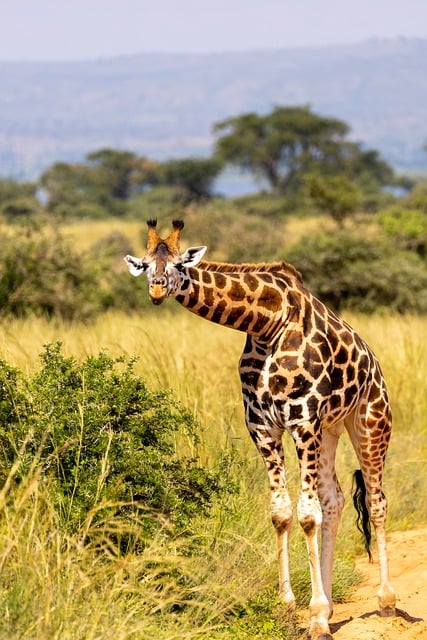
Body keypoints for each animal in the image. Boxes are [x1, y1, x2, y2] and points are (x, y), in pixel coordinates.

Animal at [124, 220, 398, 640]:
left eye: (179, 265)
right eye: (144, 264)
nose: (156, 288)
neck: (267, 322)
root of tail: (377, 368)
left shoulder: (302, 419)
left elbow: (306, 515)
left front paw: (314, 617)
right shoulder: (263, 425)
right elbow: (282, 513)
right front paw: (291, 607)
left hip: (370, 421)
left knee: (376, 499)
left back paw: (385, 600)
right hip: (330, 430)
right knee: (334, 500)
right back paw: (333, 605)